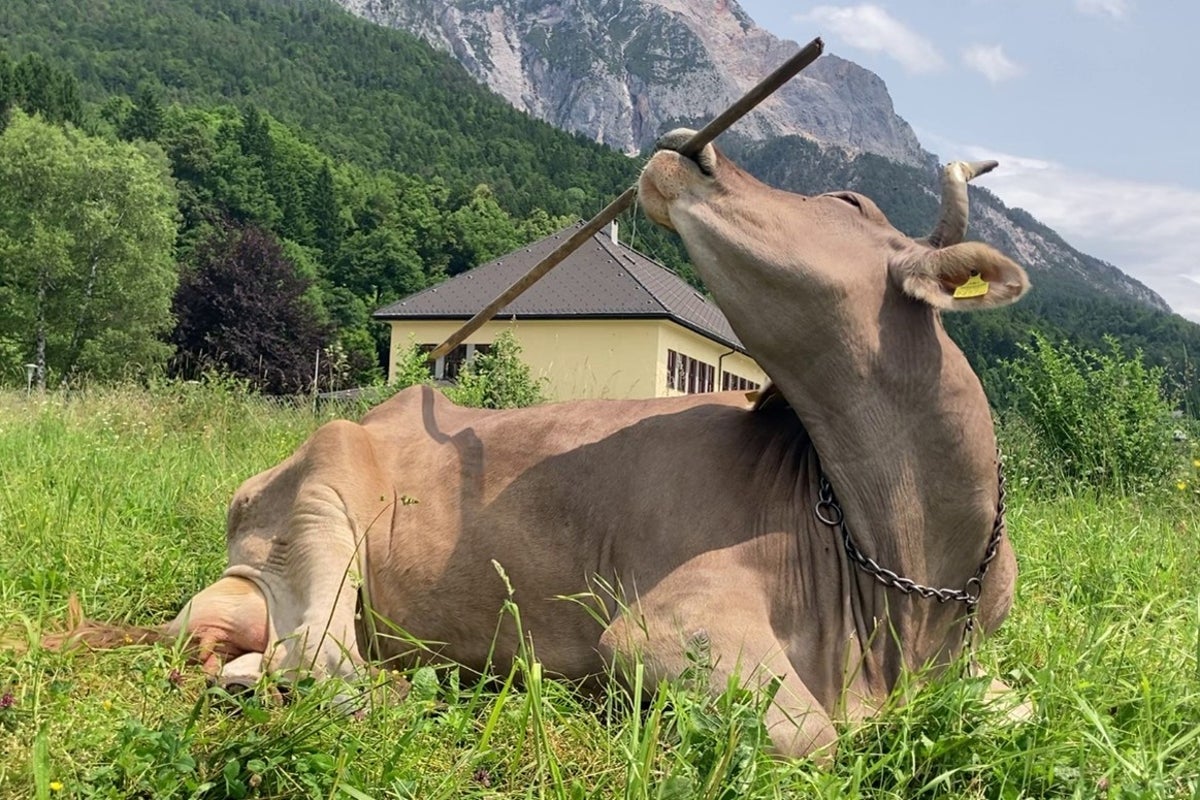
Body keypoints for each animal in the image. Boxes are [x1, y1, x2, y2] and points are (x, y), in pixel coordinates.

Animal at [50, 129, 1029, 758]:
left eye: (846, 199)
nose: (690, 143)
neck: (906, 578)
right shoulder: (663, 626)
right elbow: (815, 739)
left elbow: (1017, 717)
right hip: (322, 499)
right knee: (324, 667)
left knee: (275, 662)